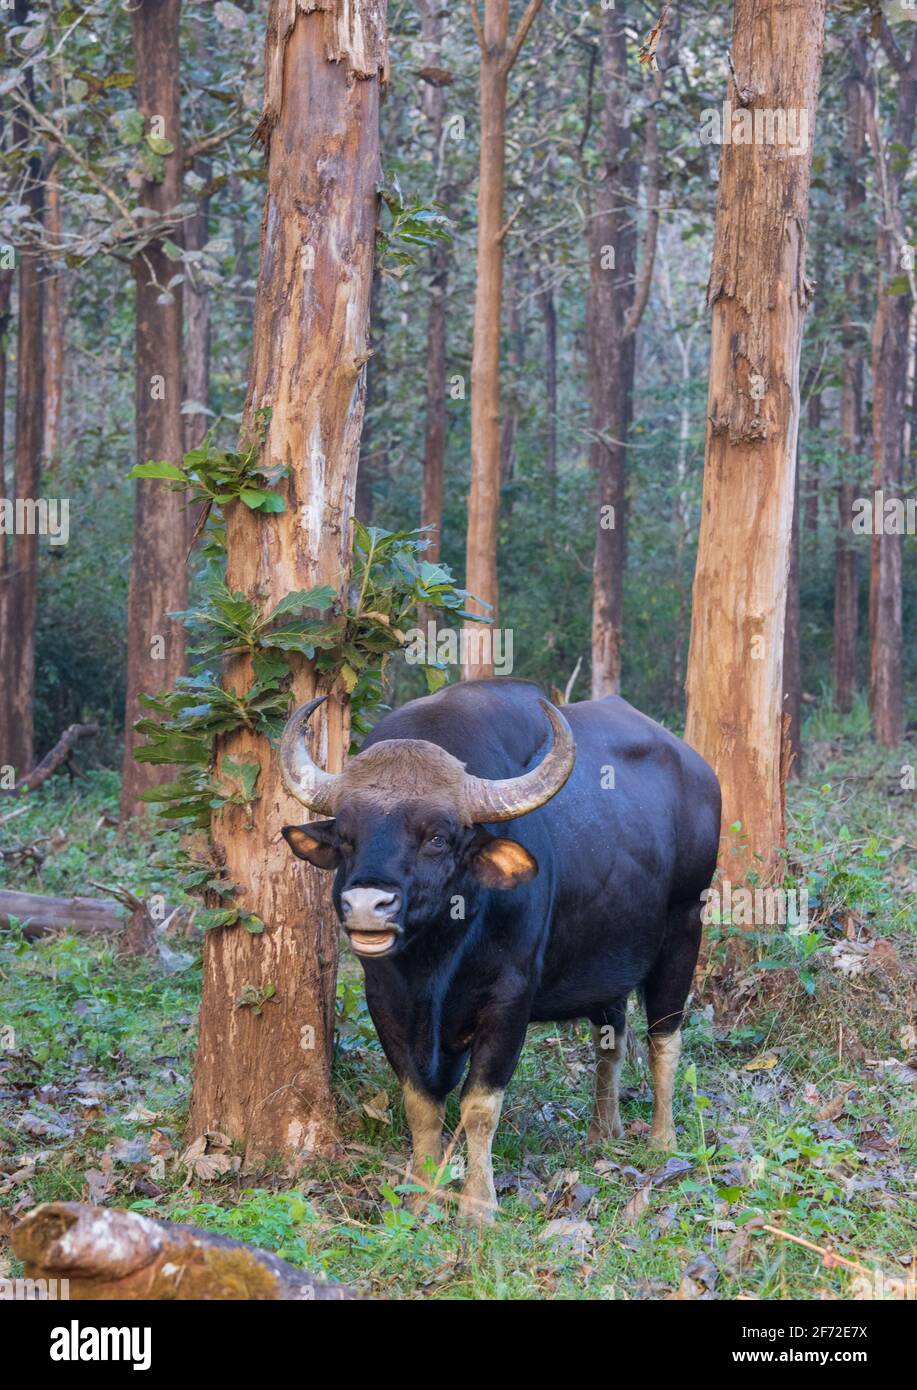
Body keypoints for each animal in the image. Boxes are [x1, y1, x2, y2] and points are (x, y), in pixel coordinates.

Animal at [281, 678, 721, 1221]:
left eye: (438, 837)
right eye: (345, 836)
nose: (367, 905)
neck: (436, 962)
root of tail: (699, 772)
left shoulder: (509, 1000)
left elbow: (479, 1105)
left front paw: (478, 1204)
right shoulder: (384, 999)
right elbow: (420, 1101)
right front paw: (422, 1194)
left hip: (684, 928)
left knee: (664, 1039)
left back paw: (662, 1140)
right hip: (606, 966)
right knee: (611, 1040)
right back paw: (604, 1132)